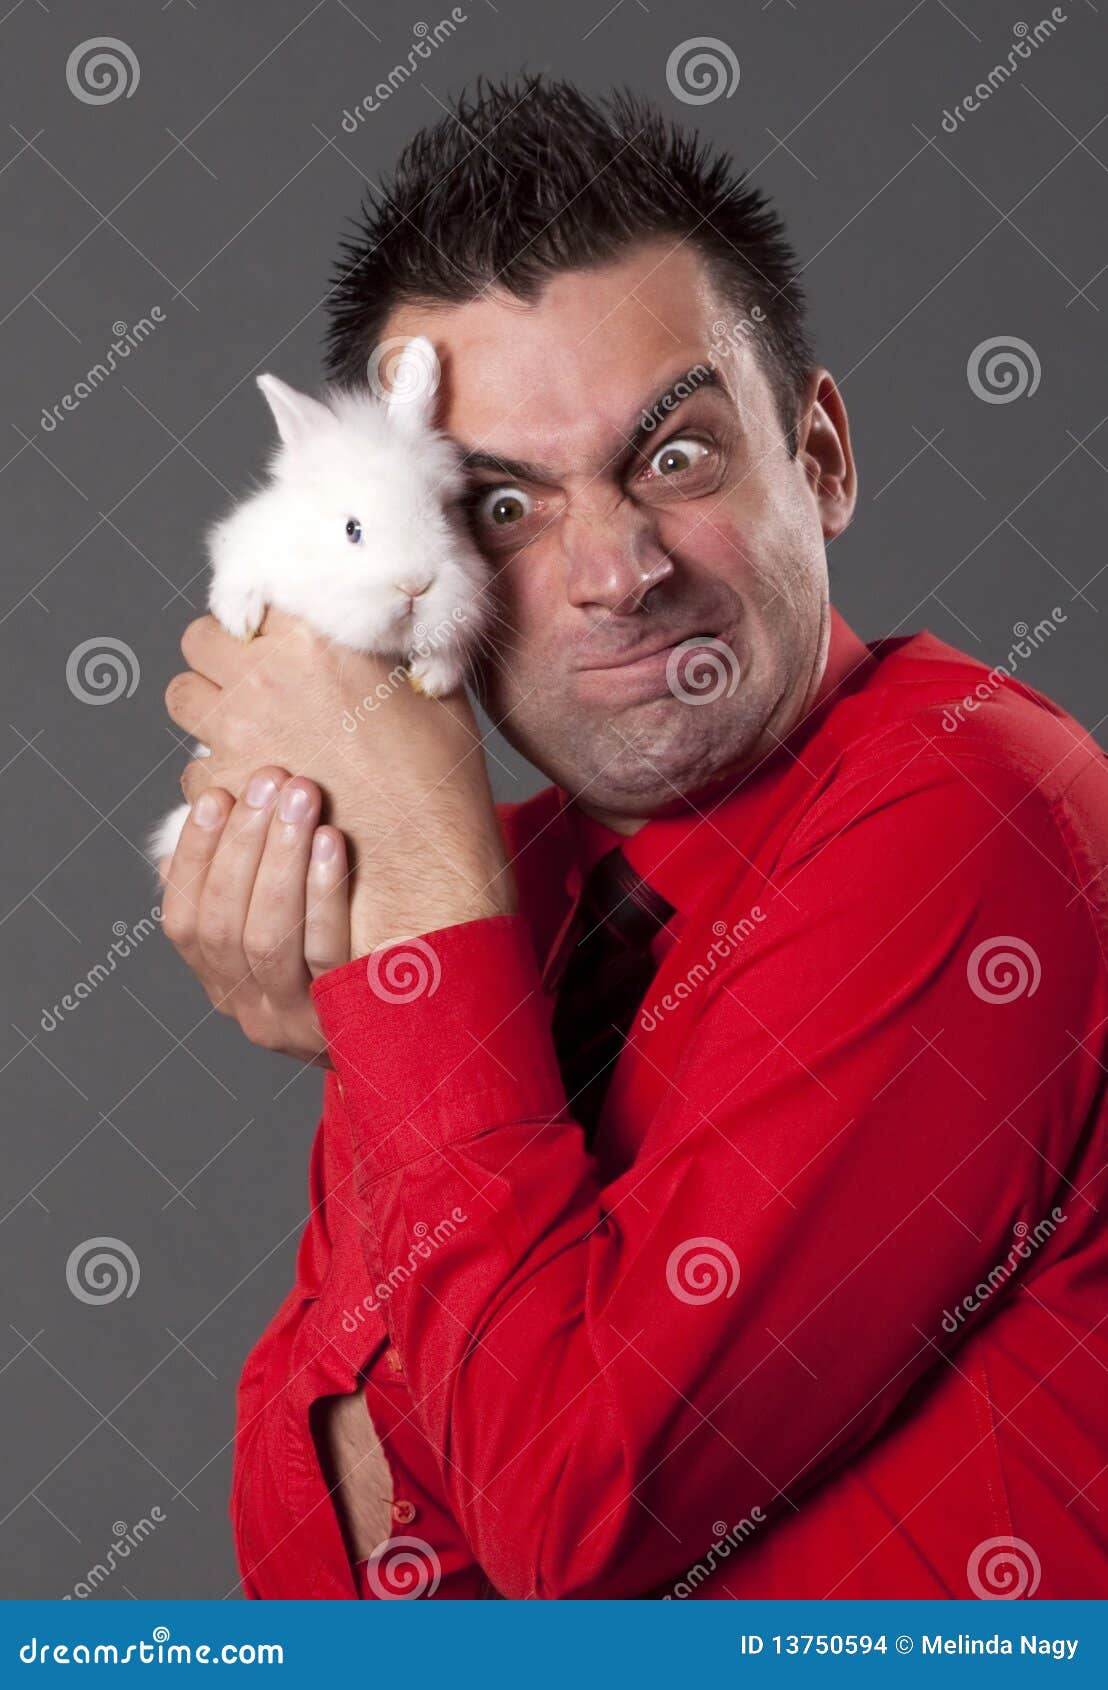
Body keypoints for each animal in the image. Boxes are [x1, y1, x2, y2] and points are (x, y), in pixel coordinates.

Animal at [149, 336, 489, 863]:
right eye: (352, 529)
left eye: (448, 516)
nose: (414, 586)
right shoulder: (244, 545)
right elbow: (236, 577)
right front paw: (240, 620)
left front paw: (432, 678)